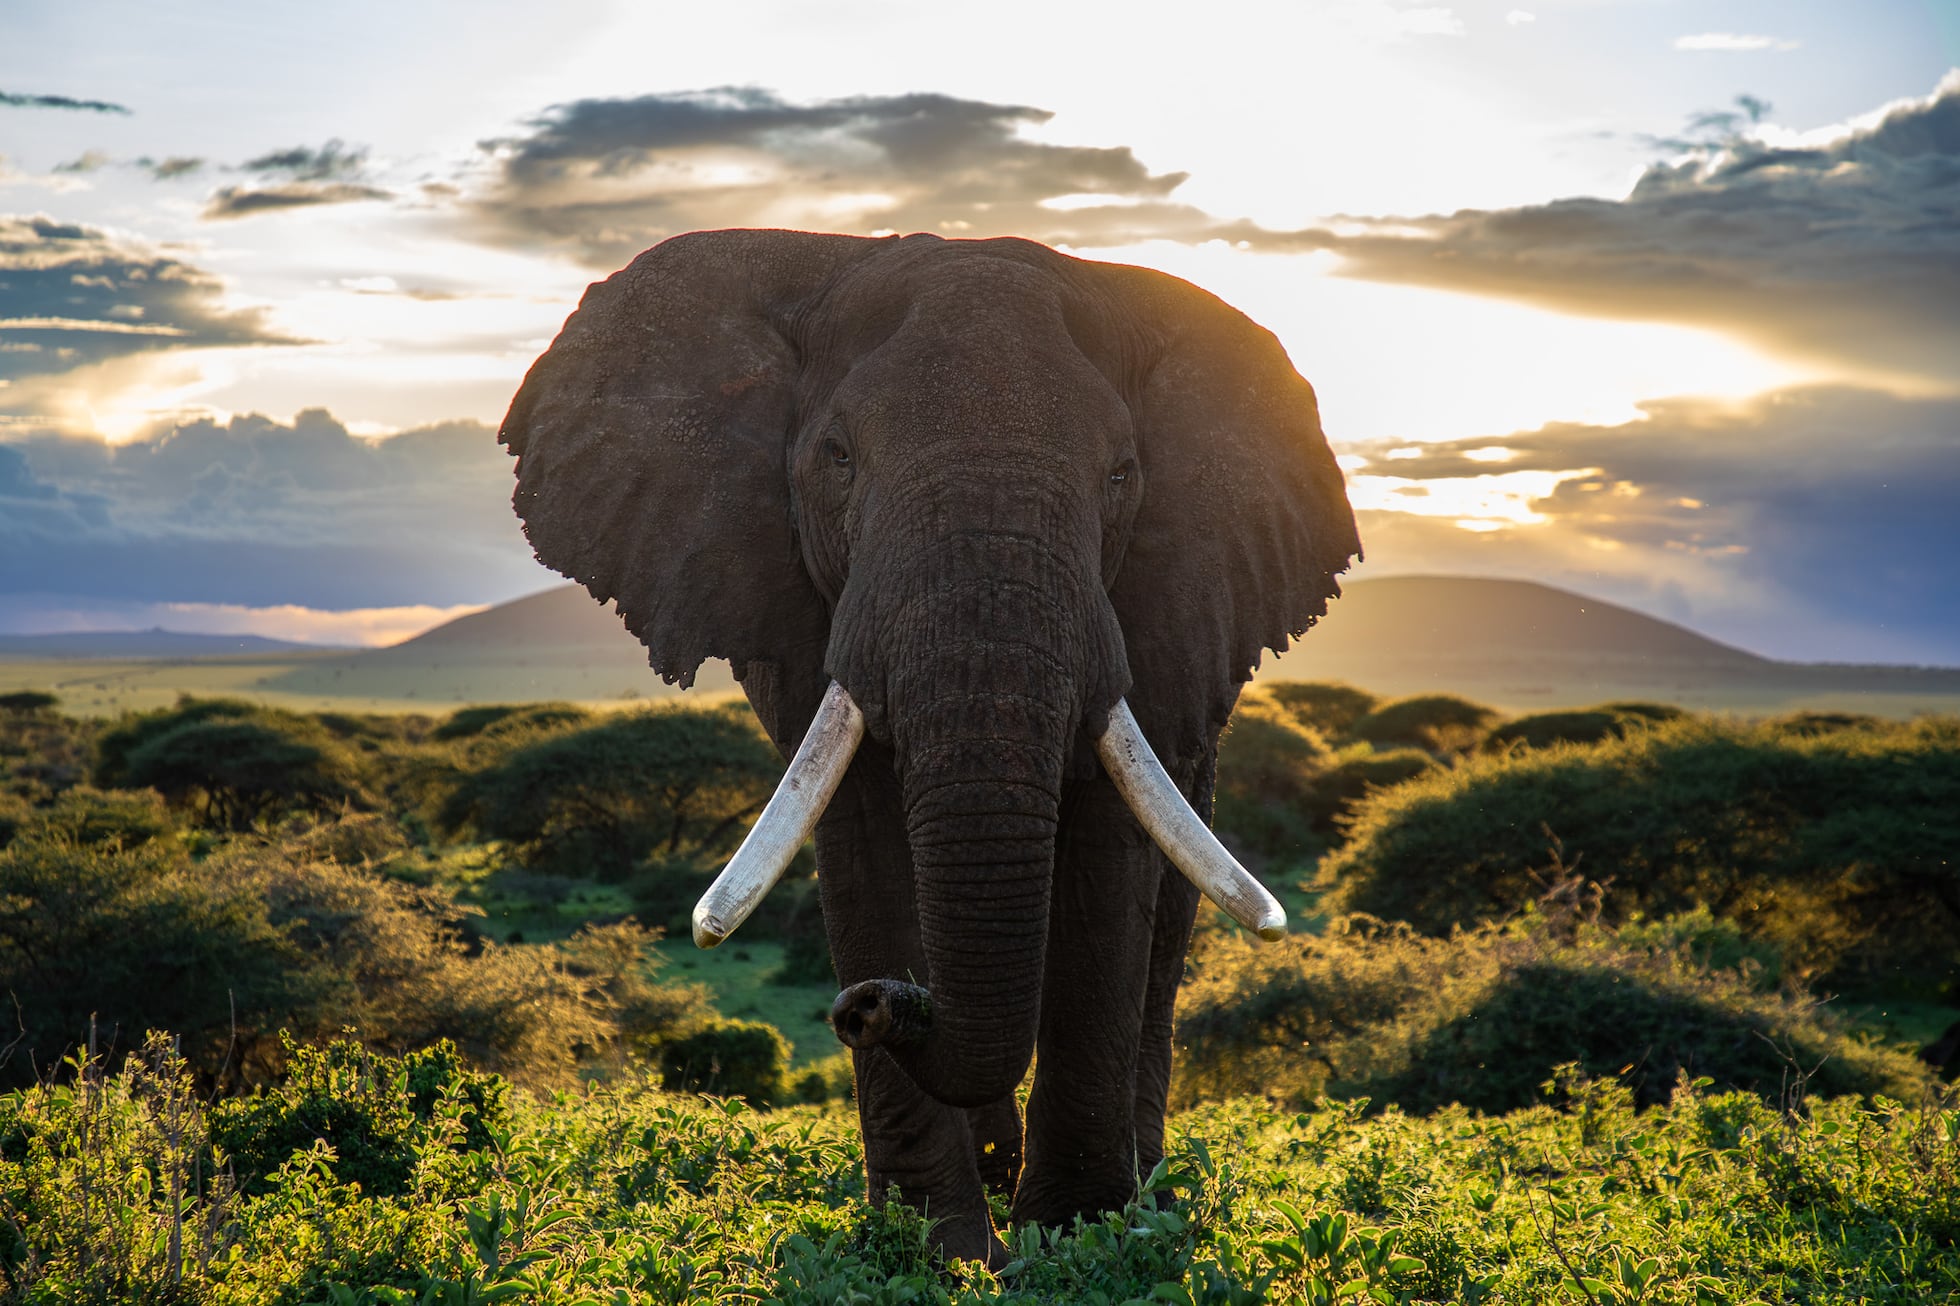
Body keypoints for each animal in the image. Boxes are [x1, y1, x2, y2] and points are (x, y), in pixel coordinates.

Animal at [498, 228, 1360, 1265]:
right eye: (836, 458)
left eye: (1121, 473)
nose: (867, 1006)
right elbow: (864, 839)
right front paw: (936, 1248)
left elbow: (1108, 863)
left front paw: (1072, 1239)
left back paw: (1141, 1192)